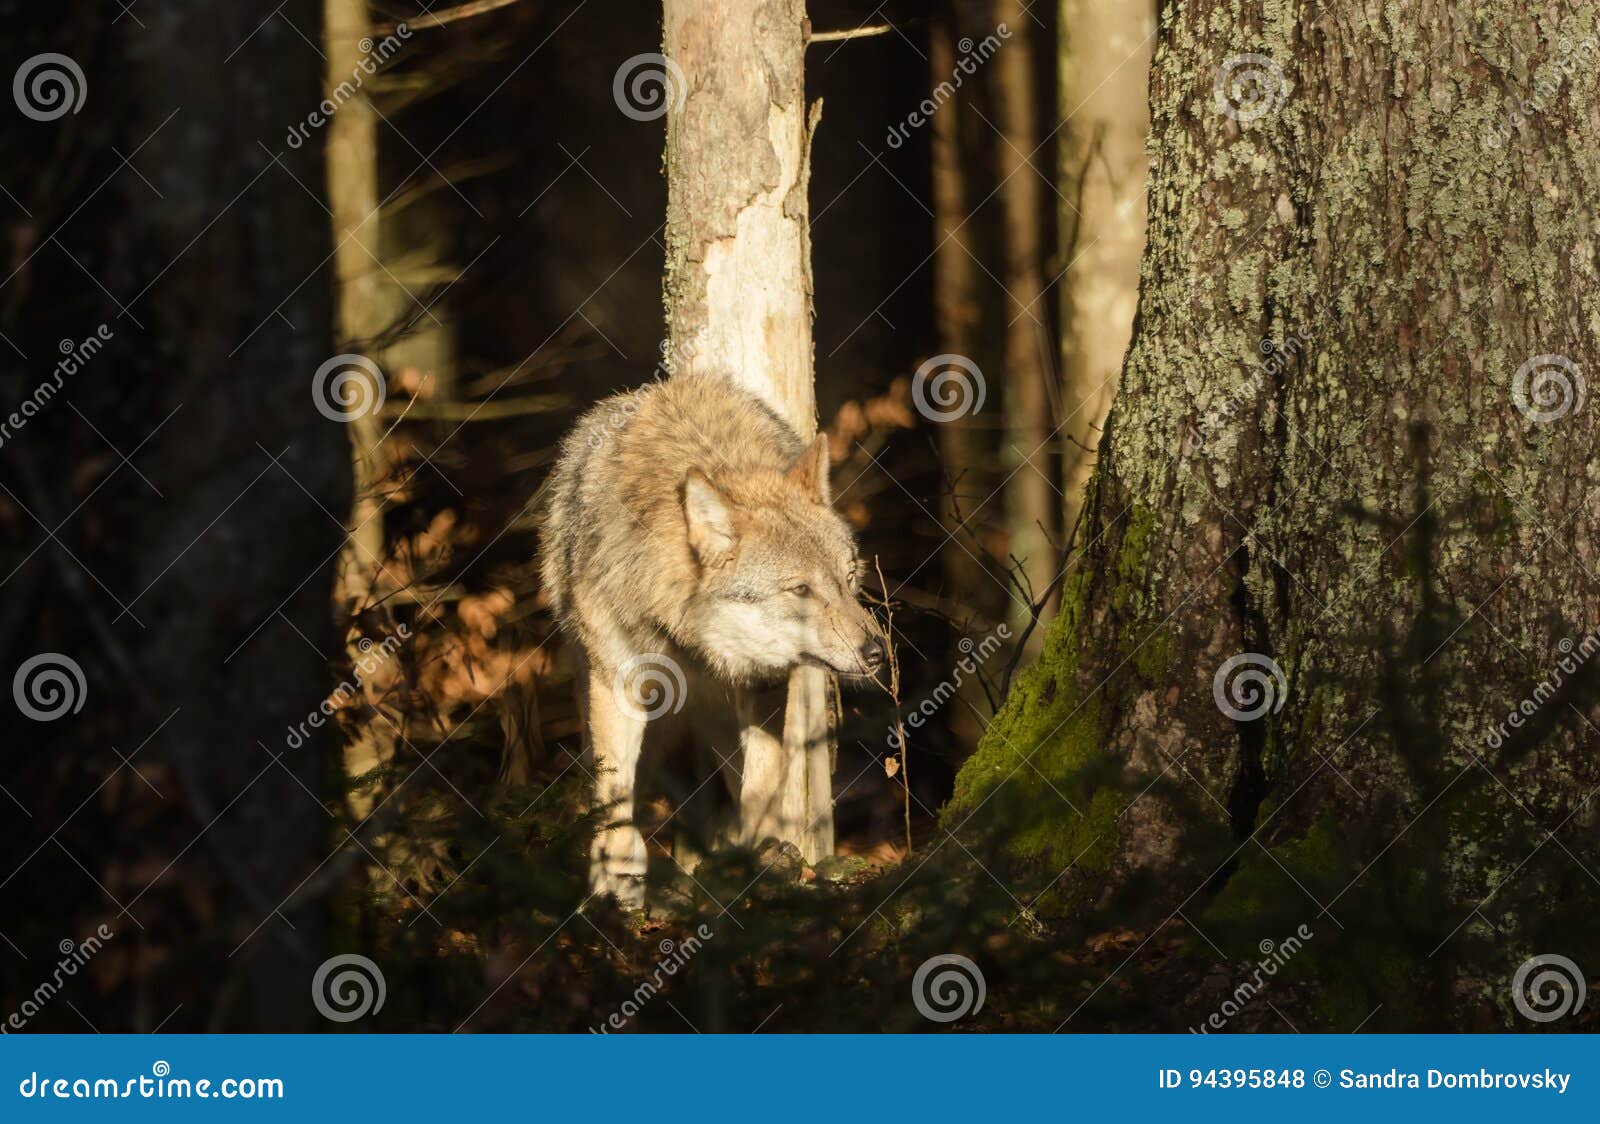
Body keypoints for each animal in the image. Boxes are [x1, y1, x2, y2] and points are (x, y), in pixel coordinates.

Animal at [539, 374, 885, 906]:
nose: (876, 652)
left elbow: (762, 782)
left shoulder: (763, 685)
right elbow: (615, 794)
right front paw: (617, 879)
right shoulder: (619, 683)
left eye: (848, 579)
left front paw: (756, 857)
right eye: (801, 590)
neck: (692, 648)